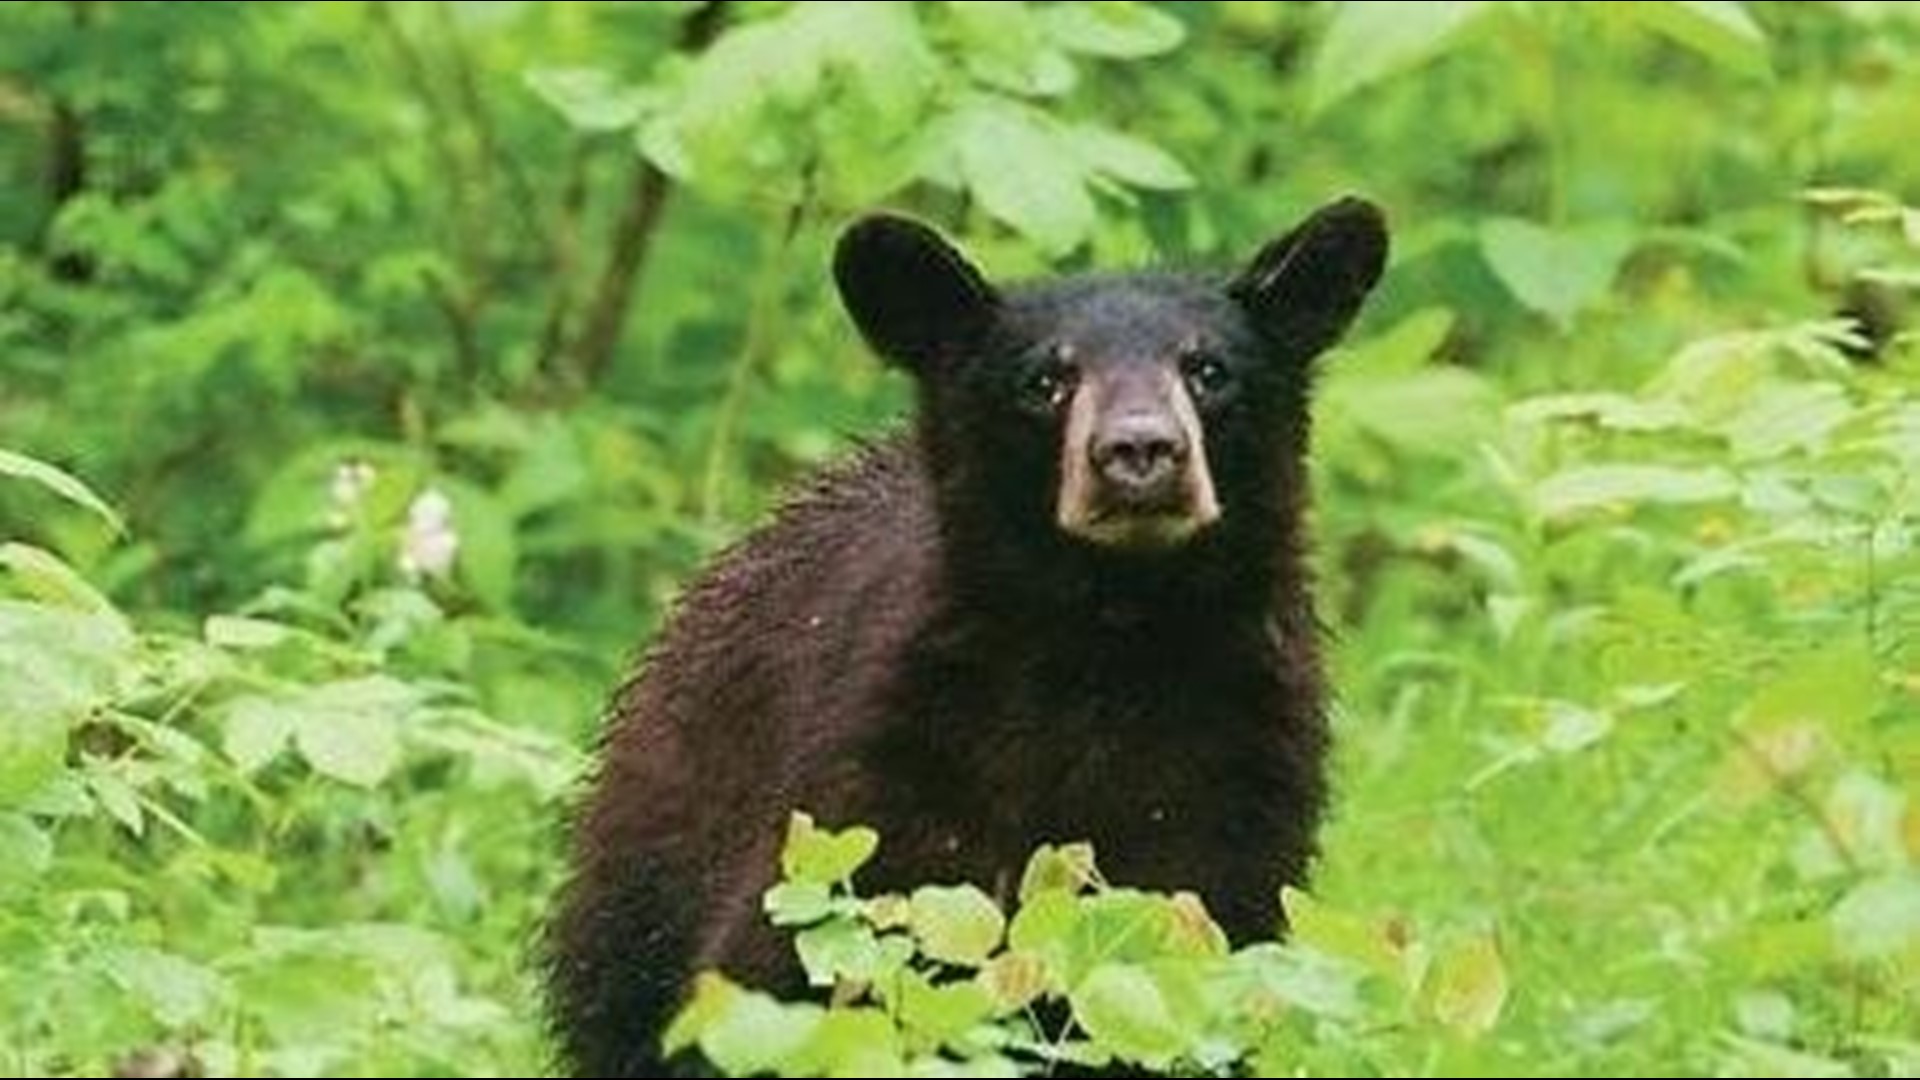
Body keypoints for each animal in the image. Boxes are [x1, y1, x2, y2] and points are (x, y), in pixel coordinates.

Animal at [544, 196, 1390, 1078]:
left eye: (1209, 370)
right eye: (1046, 380)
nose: (1140, 450)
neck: (1111, 638)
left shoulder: (1238, 774)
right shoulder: (893, 766)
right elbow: (773, 977)